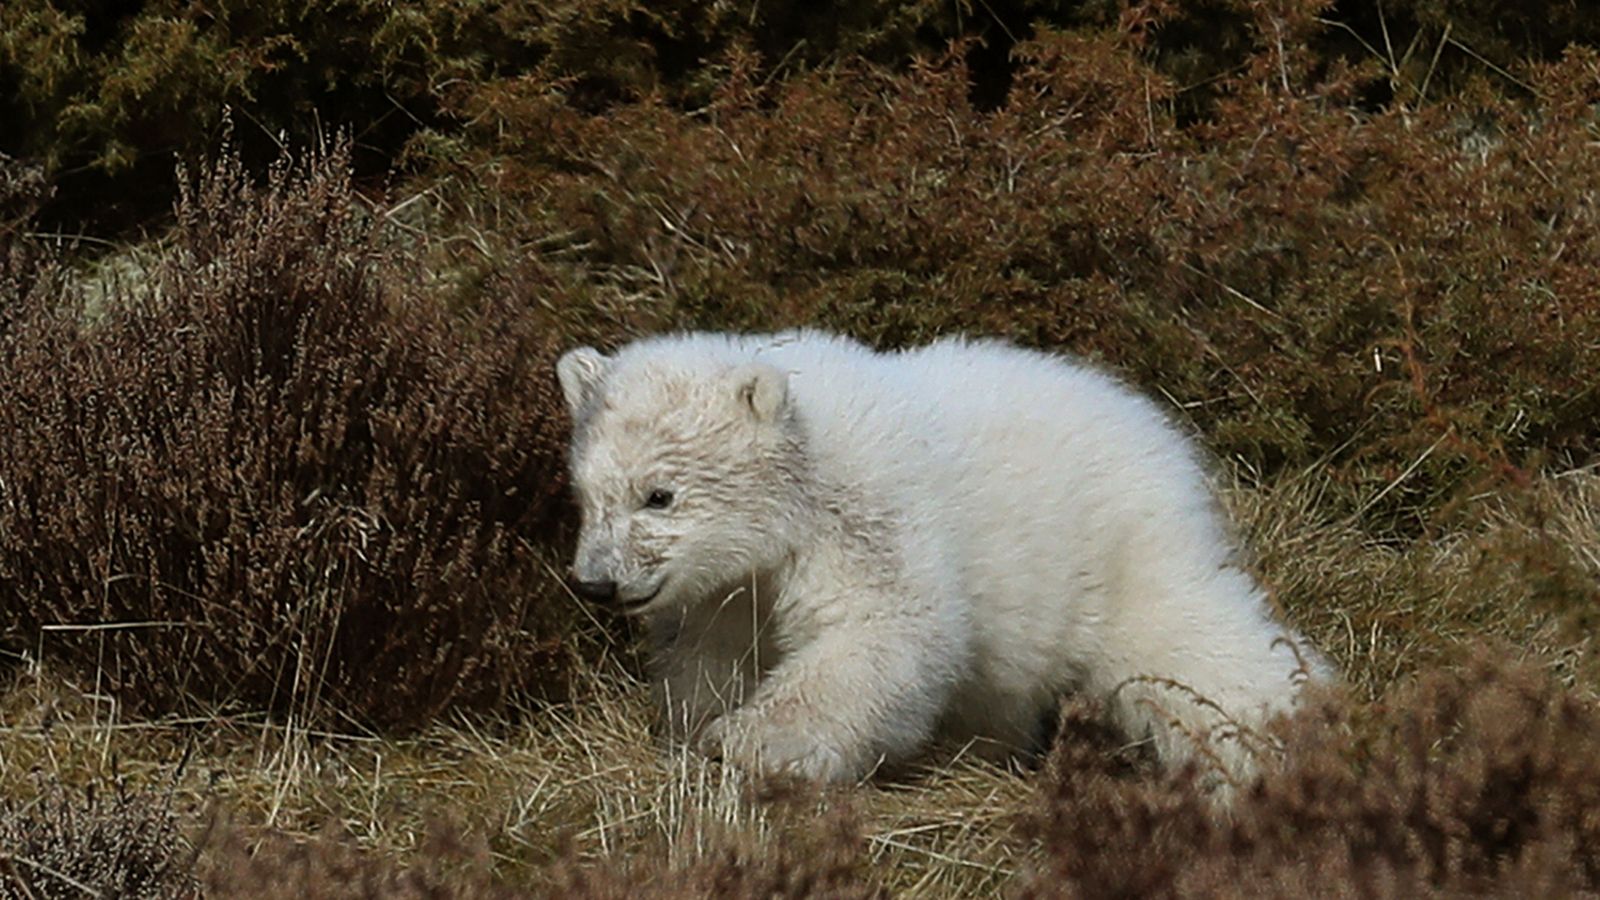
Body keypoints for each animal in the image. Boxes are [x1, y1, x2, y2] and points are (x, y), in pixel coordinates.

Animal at [556, 330, 1328, 788]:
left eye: (658, 494)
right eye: (583, 495)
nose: (597, 582)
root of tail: (1158, 426)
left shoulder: (868, 515)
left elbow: (881, 632)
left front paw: (750, 744)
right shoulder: (726, 591)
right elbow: (708, 655)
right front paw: (694, 735)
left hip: (1124, 547)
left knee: (1194, 650)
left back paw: (1284, 737)